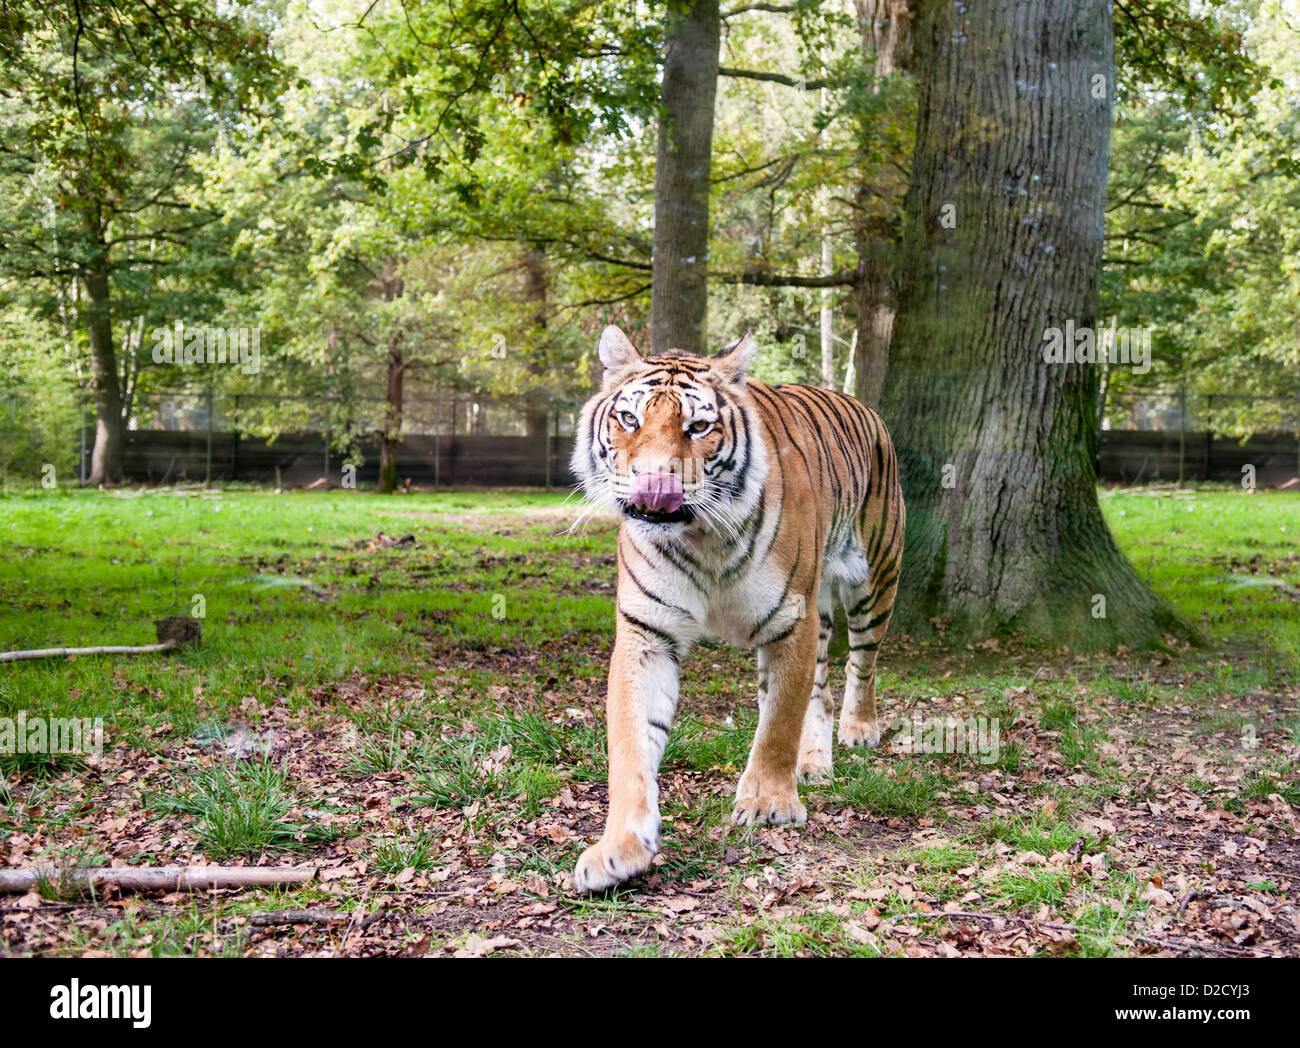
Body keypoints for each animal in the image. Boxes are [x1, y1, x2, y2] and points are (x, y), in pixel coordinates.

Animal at [569, 325, 905, 892]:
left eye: (698, 425)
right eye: (629, 419)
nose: (653, 484)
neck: (700, 537)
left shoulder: (791, 621)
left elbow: (778, 723)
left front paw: (768, 803)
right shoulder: (646, 633)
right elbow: (632, 747)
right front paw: (620, 847)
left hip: (874, 577)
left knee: (862, 663)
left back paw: (859, 730)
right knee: (821, 693)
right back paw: (814, 764)